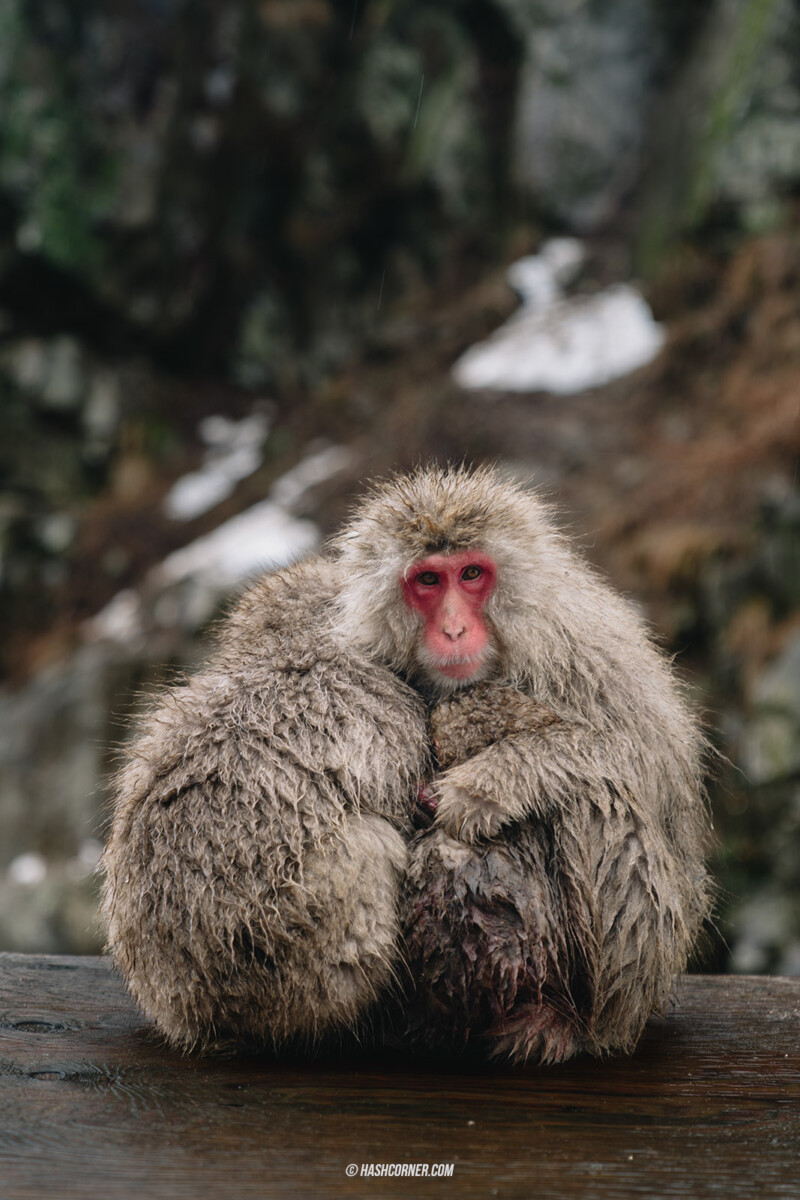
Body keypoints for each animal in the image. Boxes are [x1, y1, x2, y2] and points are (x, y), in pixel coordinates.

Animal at [331, 465, 712, 1063]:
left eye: (471, 573)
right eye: (429, 580)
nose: (455, 630)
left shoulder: (579, 649)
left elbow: (641, 758)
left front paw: (482, 789)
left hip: (644, 965)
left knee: (598, 798)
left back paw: (566, 1024)